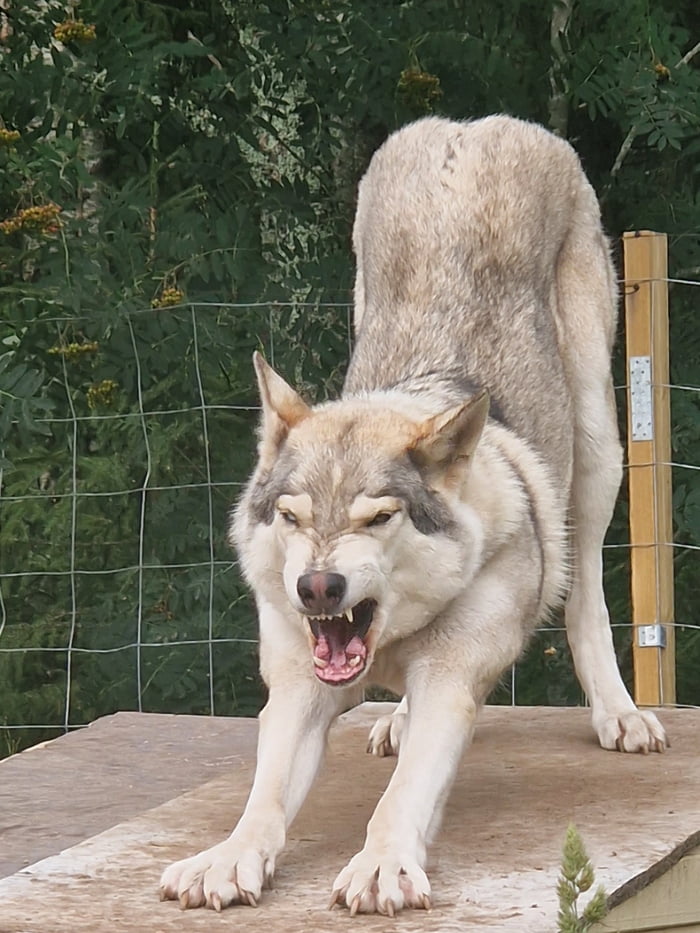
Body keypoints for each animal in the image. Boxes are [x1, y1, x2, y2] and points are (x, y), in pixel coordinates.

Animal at [160, 115, 667, 916]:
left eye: (378, 518)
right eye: (294, 517)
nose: (318, 588)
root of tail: (474, 126)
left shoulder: (451, 681)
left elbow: (401, 796)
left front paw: (381, 865)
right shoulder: (297, 689)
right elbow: (263, 798)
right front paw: (229, 857)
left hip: (599, 448)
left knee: (585, 592)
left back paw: (617, 713)